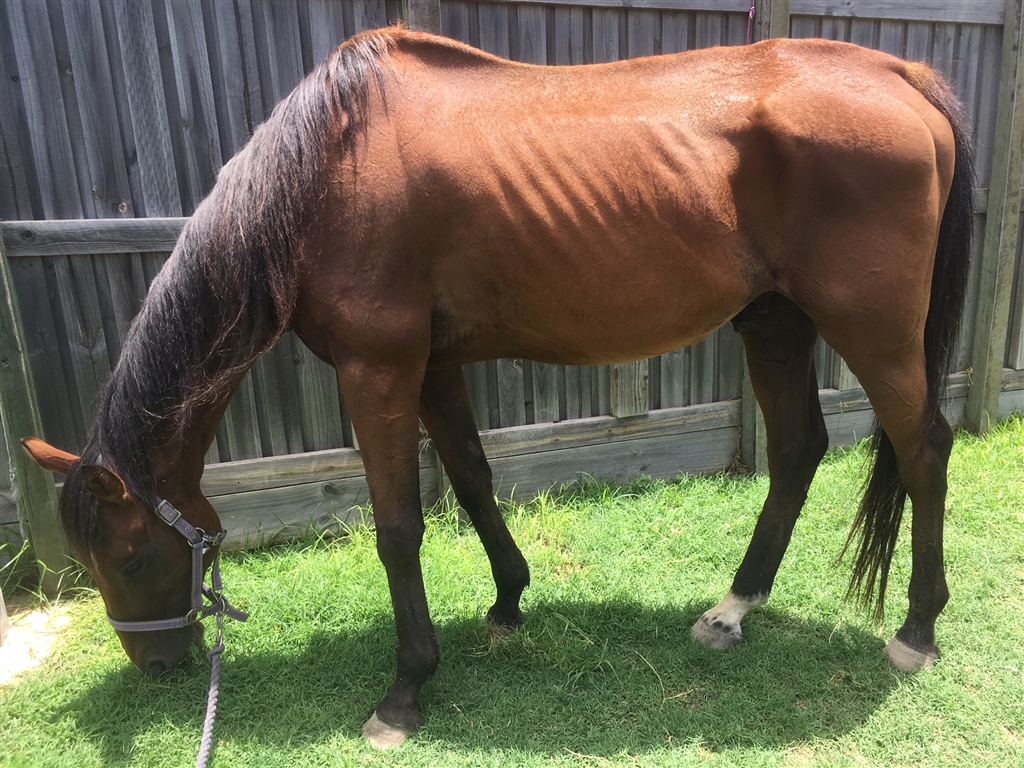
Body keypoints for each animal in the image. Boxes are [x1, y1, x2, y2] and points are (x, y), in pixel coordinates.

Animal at [22, 27, 973, 748]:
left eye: (130, 555)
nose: (156, 665)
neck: (324, 171)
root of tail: (901, 75)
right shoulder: (434, 367)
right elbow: (474, 481)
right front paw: (509, 601)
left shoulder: (377, 370)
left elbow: (398, 529)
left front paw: (405, 692)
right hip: (774, 323)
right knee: (797, 450)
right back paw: (734, 609)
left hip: (873, 333)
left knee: (924, 448)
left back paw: (919, 630)